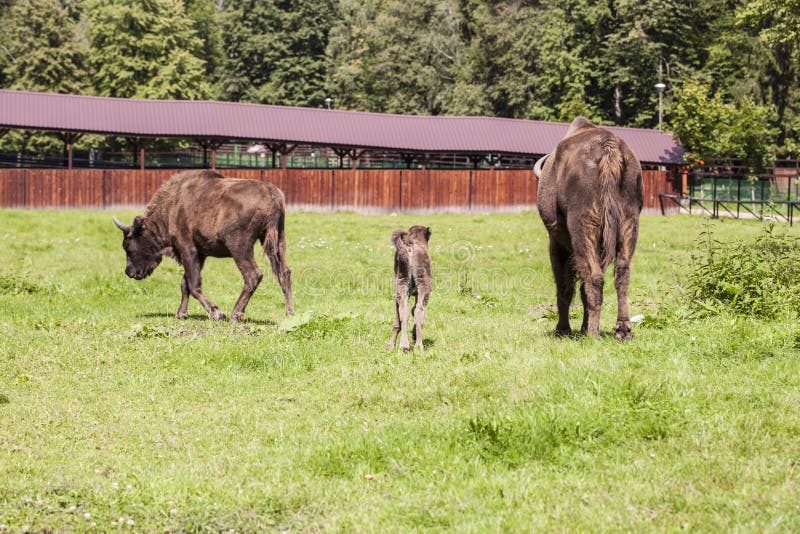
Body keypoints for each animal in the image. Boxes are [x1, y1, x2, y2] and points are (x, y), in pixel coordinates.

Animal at [113, 169, 294, 322]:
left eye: (128, 246)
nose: (129, 272)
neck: (172, 206)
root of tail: (272, 195)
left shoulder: (187, 248)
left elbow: (193, 284)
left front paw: (217, 313)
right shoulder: (200, 254)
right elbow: (185, 284)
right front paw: (181, 314)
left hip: (240, 247)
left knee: (253, 275)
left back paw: (235, 314)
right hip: (277, 239)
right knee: (284, 272)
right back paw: (290, 313)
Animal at [534, 117, 643, 340]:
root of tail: (609, 148)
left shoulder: (557, 242)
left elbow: (565, 287)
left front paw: (563, 329)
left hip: (583, 227)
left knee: (594, 278)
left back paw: (593, 333)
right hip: (629, 222)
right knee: (622, 274)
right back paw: (622, 330)